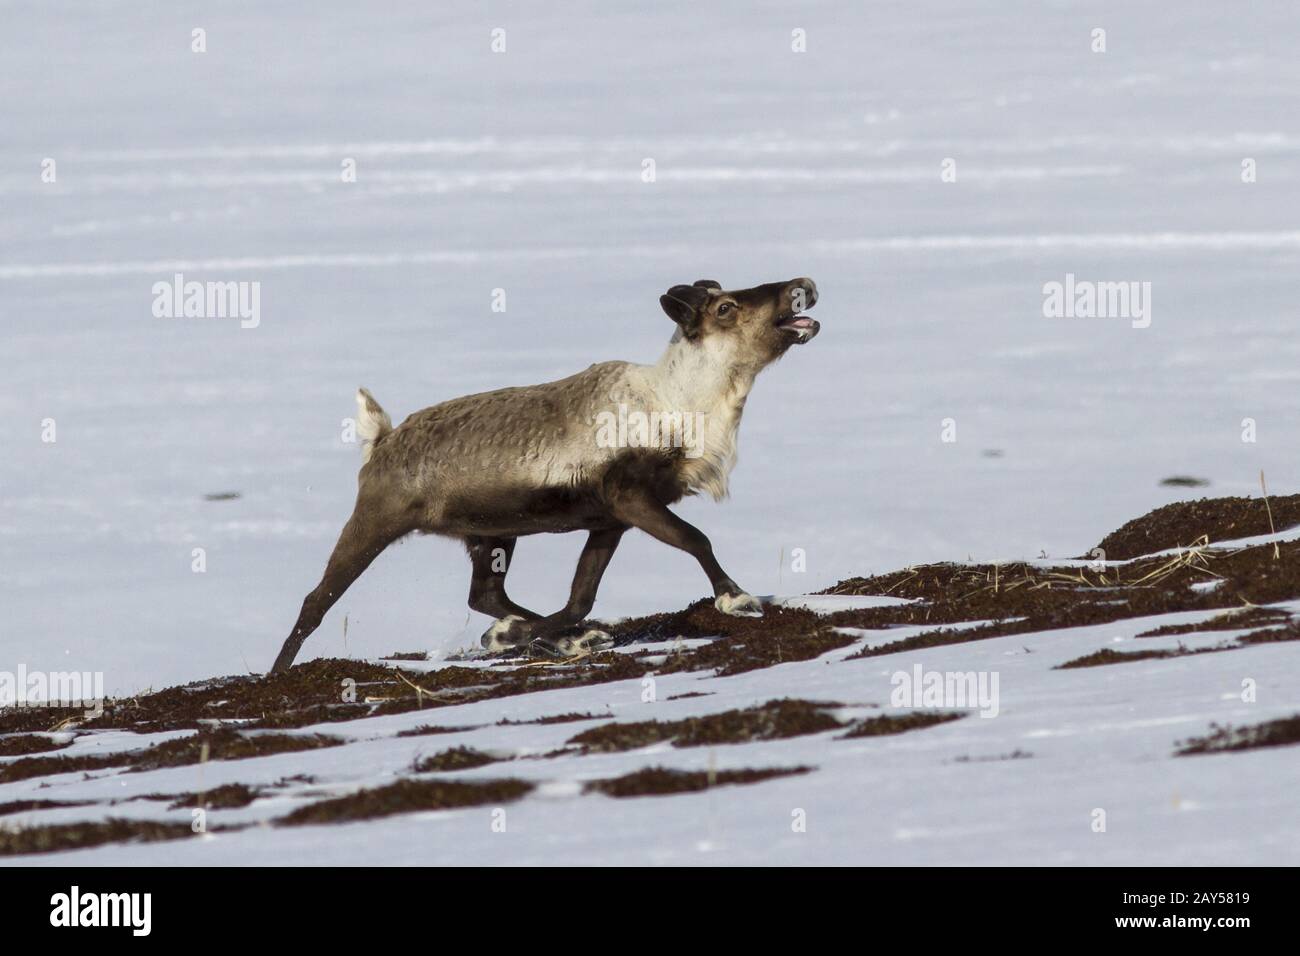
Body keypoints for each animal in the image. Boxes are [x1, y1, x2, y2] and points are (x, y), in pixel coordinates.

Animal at [271, 277, 820, 672]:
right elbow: (696, 539)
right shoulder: (629, 498)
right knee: (315, 602)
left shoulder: (610, 521)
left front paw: (540, 636)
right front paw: (737, 598)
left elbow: (580, 597)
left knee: (484, 594)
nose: (804, 283)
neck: (683, 407)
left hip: (493, 533)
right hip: (376, 521)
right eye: (724, 307)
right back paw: (276, 672)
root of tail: (380, 440)